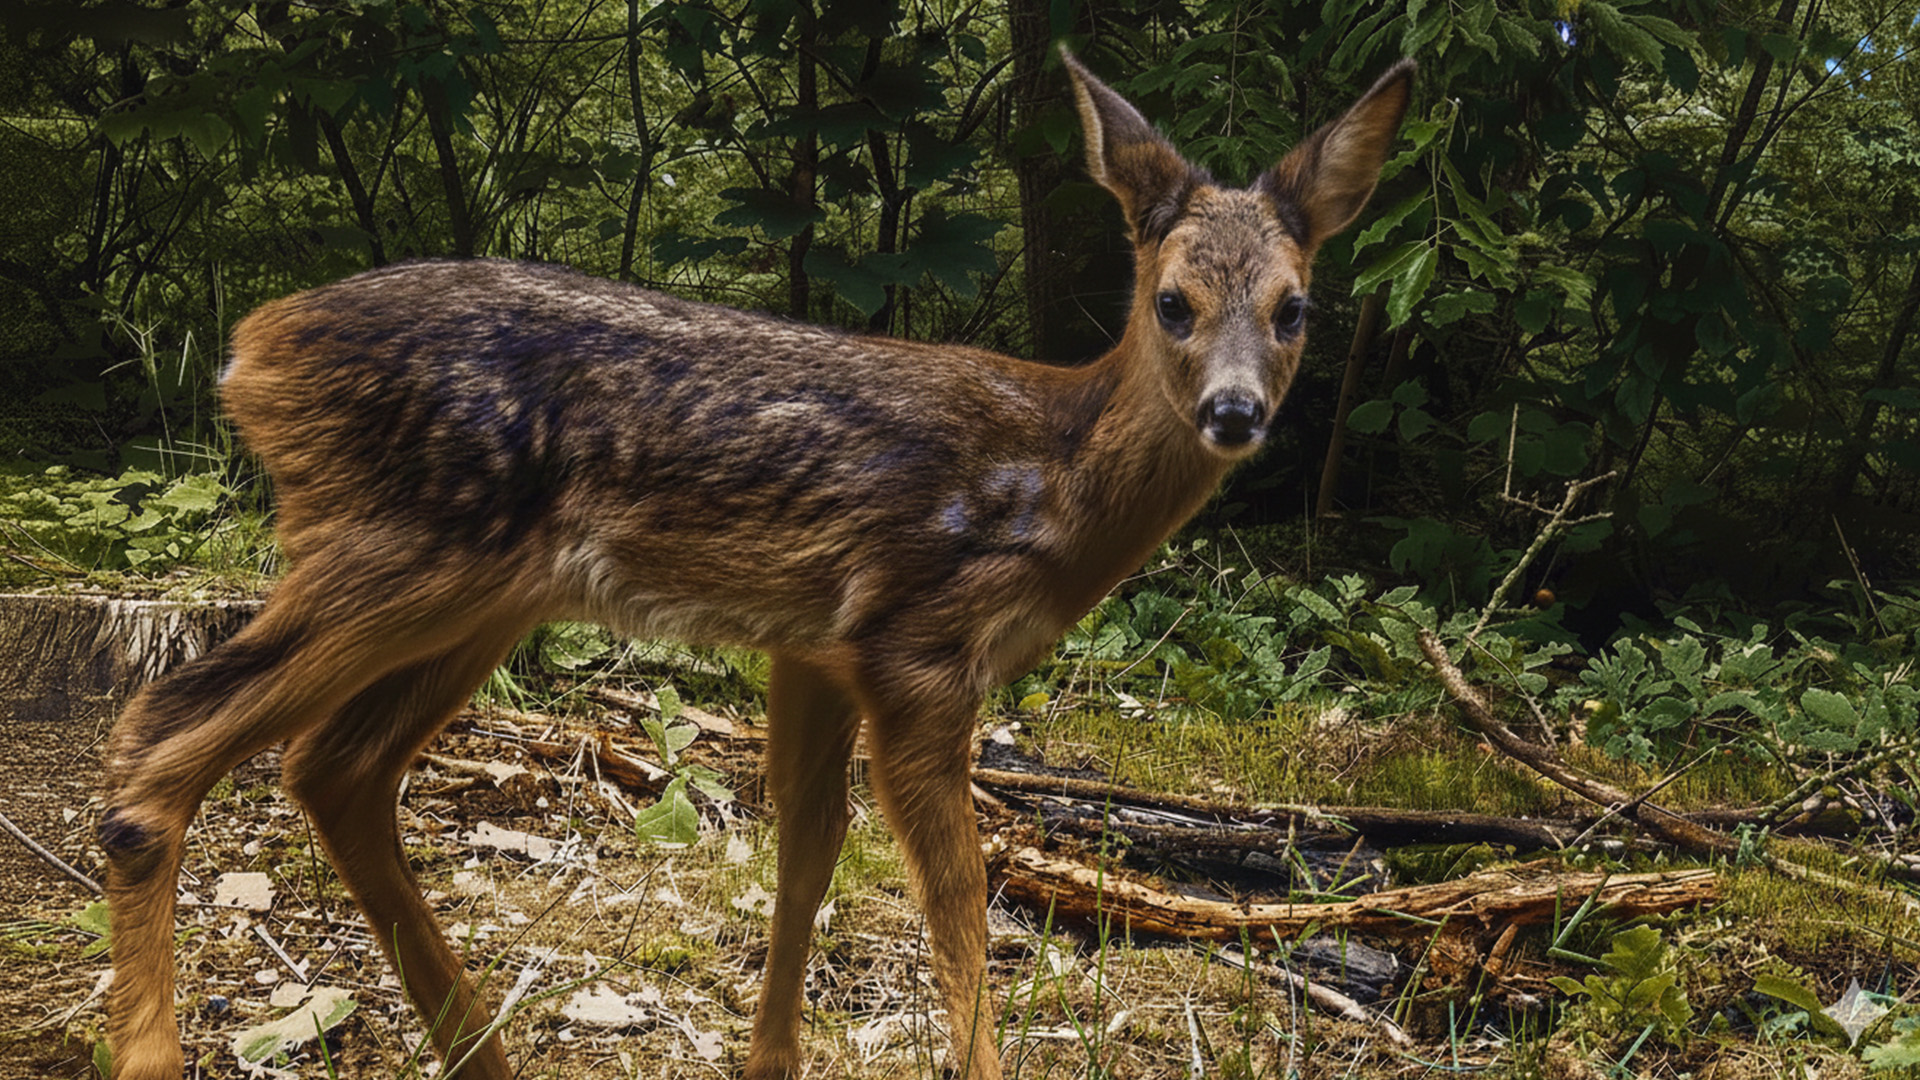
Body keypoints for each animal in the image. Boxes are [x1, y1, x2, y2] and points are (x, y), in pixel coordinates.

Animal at [99, 49, 1413, 1080]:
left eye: (1294, 308)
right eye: (1174, 301)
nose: (1236, 412)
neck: (1055, 479)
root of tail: (250, 355)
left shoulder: (814, 648)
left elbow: (806, 856)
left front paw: (769, 1056)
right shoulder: (917, 643)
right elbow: (956, 906)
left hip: (475, 592)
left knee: (335, 767)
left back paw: (485, 1054)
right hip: (399, 544)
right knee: (166, 733)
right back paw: (161, 1050)